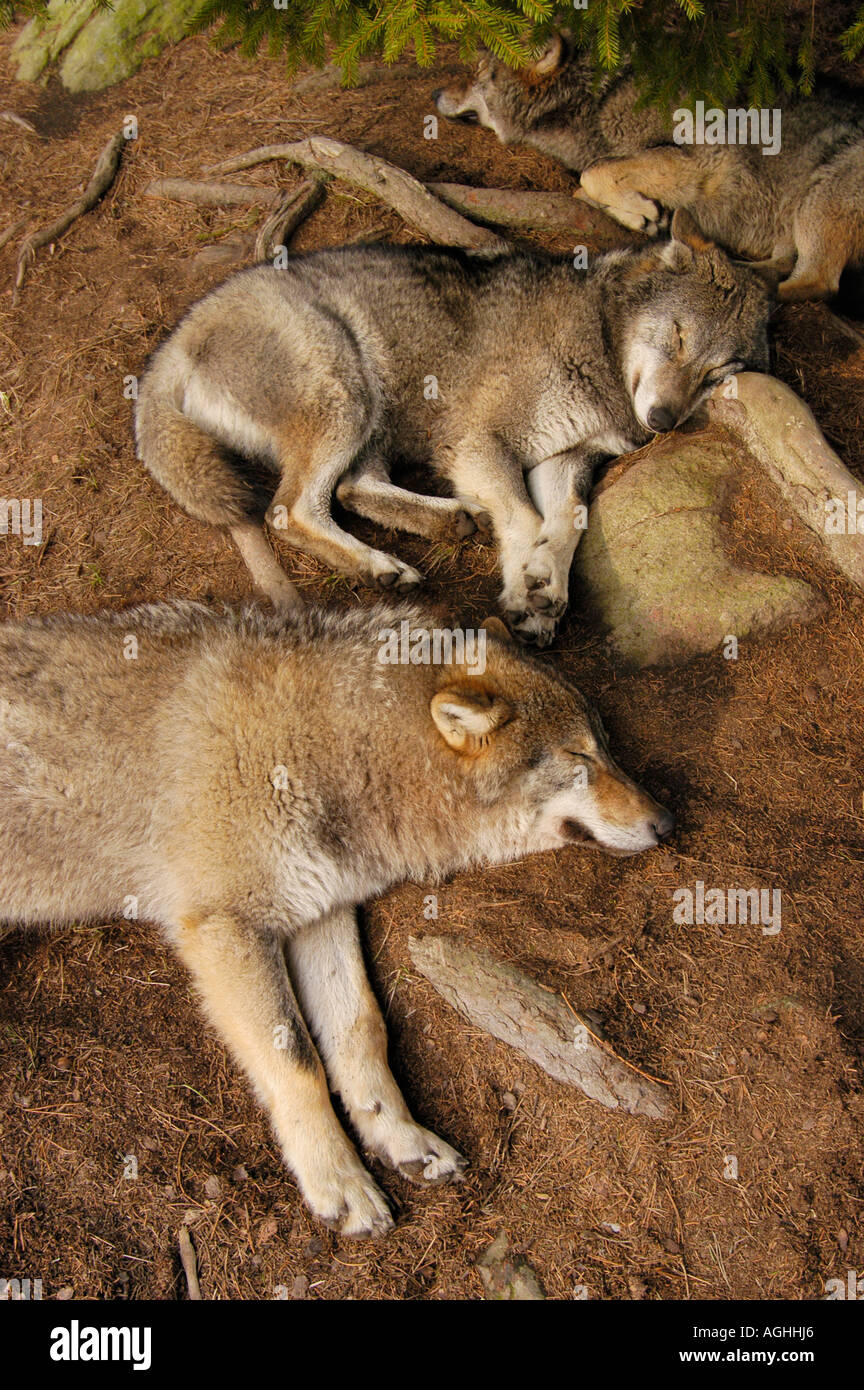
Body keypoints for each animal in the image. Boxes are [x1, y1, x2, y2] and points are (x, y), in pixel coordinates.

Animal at [0, 597, 674, 1235]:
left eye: (607, 747)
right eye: (578, 757)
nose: (668, 822)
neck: (325, 747)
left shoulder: (319, 912)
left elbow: (361, 1031)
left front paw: (401, 1139)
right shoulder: (225, 929)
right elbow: (297, 1061)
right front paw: (339, 1184)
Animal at [135, 213, 770, 645]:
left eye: (719, 372)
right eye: (679, 337)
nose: (663, 421)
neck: (598, 336)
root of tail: (173, 343)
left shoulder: (562, 458)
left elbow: (569, 519)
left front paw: (544, 587)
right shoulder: (476, 442)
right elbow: (528, 520)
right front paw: (525, 588)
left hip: (374, 415)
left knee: (350, 489)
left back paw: (449, 520)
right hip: (345, 385)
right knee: (290, 509)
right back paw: (382, 566)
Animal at [434, 32, 864, 302]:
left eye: (477, 70)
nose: (435, 94)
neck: (597, 96)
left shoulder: (701, 161)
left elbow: (593, 173)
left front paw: (642, 211)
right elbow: (583, 186)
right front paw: (643, 216)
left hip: (819, 196)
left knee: (819, 282)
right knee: (788, 264)